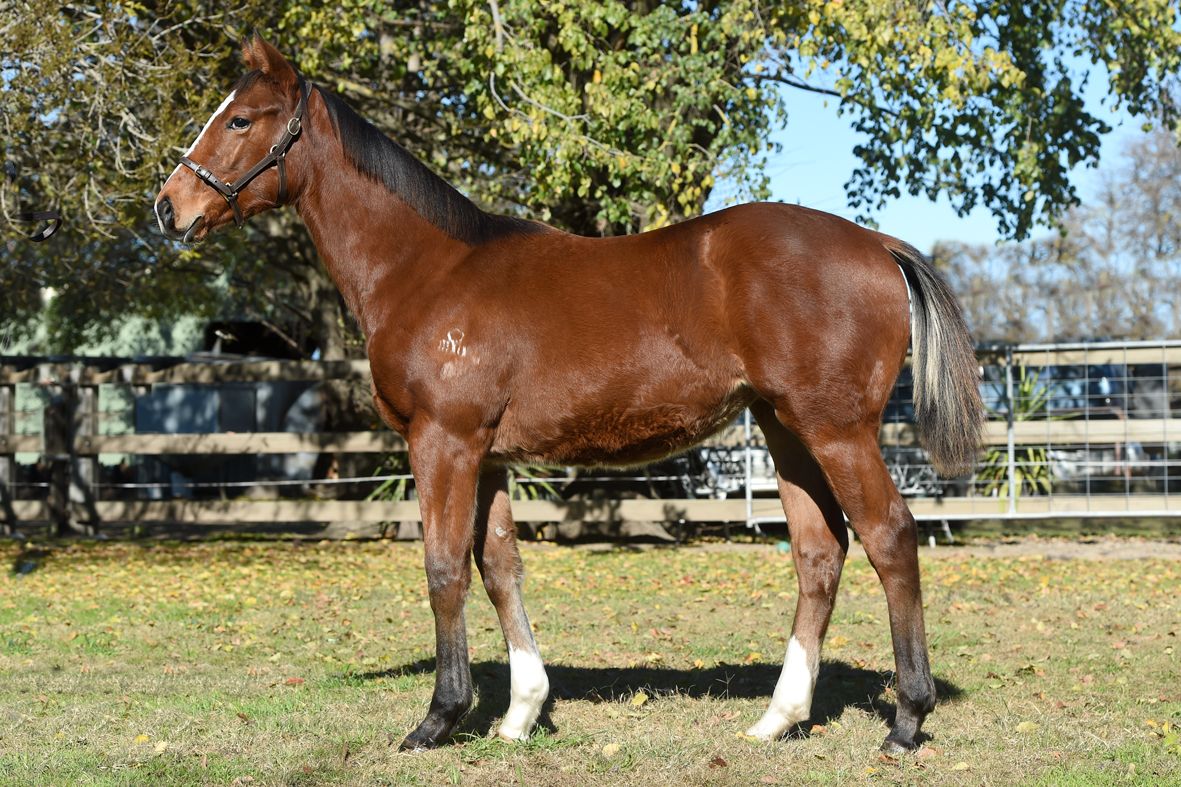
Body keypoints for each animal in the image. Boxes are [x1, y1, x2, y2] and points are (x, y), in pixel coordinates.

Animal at [154, 35, 983, 754]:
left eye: (239, 118)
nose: (169, 207)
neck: (426, 270)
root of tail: (876, 244)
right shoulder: (486, 455)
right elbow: (499, 567)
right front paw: (519, 713)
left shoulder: (442, 441)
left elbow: (444, 568)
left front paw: (438, 718)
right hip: (784, 428)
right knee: (819, 551)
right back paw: (776, 718)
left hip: (836, 428)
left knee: (888, 537)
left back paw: (906, 720)